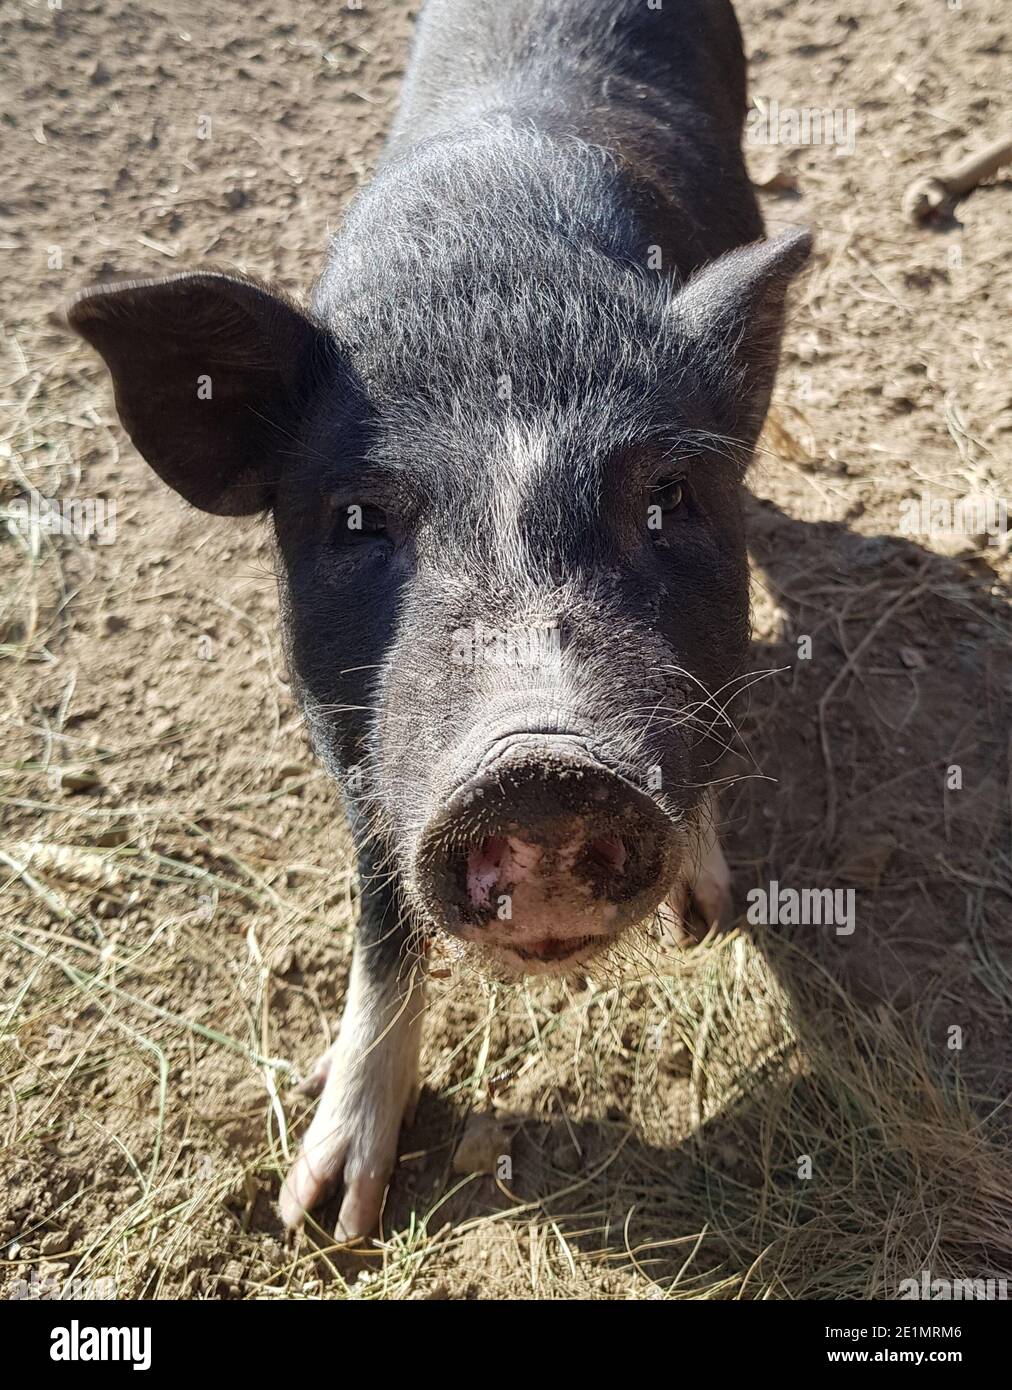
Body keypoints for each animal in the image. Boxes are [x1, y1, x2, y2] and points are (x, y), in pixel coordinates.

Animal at [68, 0, 811, 1240]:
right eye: (358, 518)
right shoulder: (351, 743)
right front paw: (323, 1216)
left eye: (667, 497)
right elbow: (380, 918)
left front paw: (705, 917)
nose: (540, 766)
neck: (494, 292)